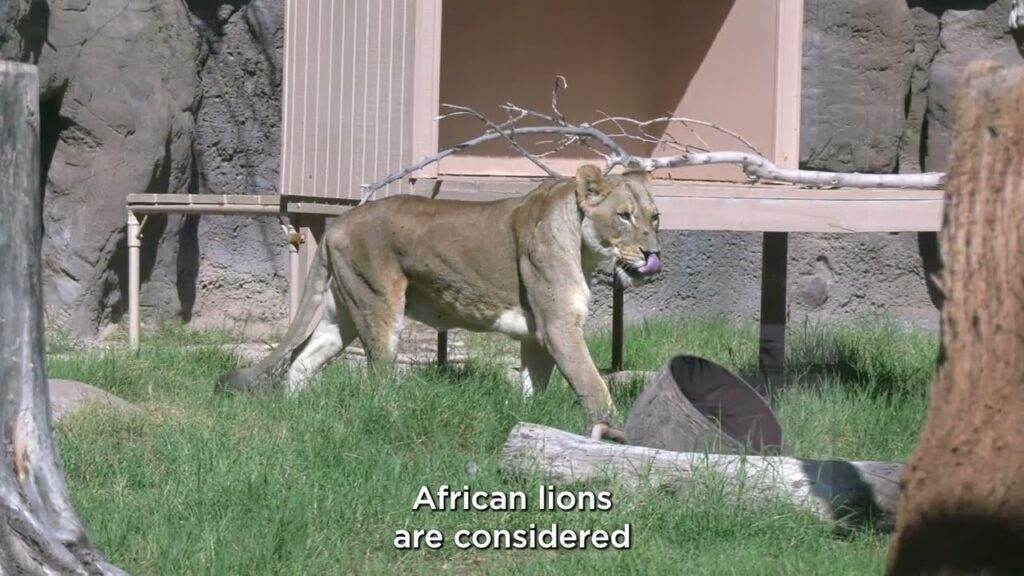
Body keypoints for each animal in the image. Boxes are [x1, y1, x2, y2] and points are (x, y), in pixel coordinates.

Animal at [217, 164, 663, 439]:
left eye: (654, 217)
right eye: (624, 216)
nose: (652, 252)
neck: (584, 247)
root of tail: (338, 224)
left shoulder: (536, 333)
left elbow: (533, 385)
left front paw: (531, 422)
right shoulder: (558, 326)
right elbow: (591, 382)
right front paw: (615, 431)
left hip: (340, 311)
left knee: (302, 360)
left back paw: (298, 413)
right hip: (378, 306)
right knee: (377, 378)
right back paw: (390, 418)